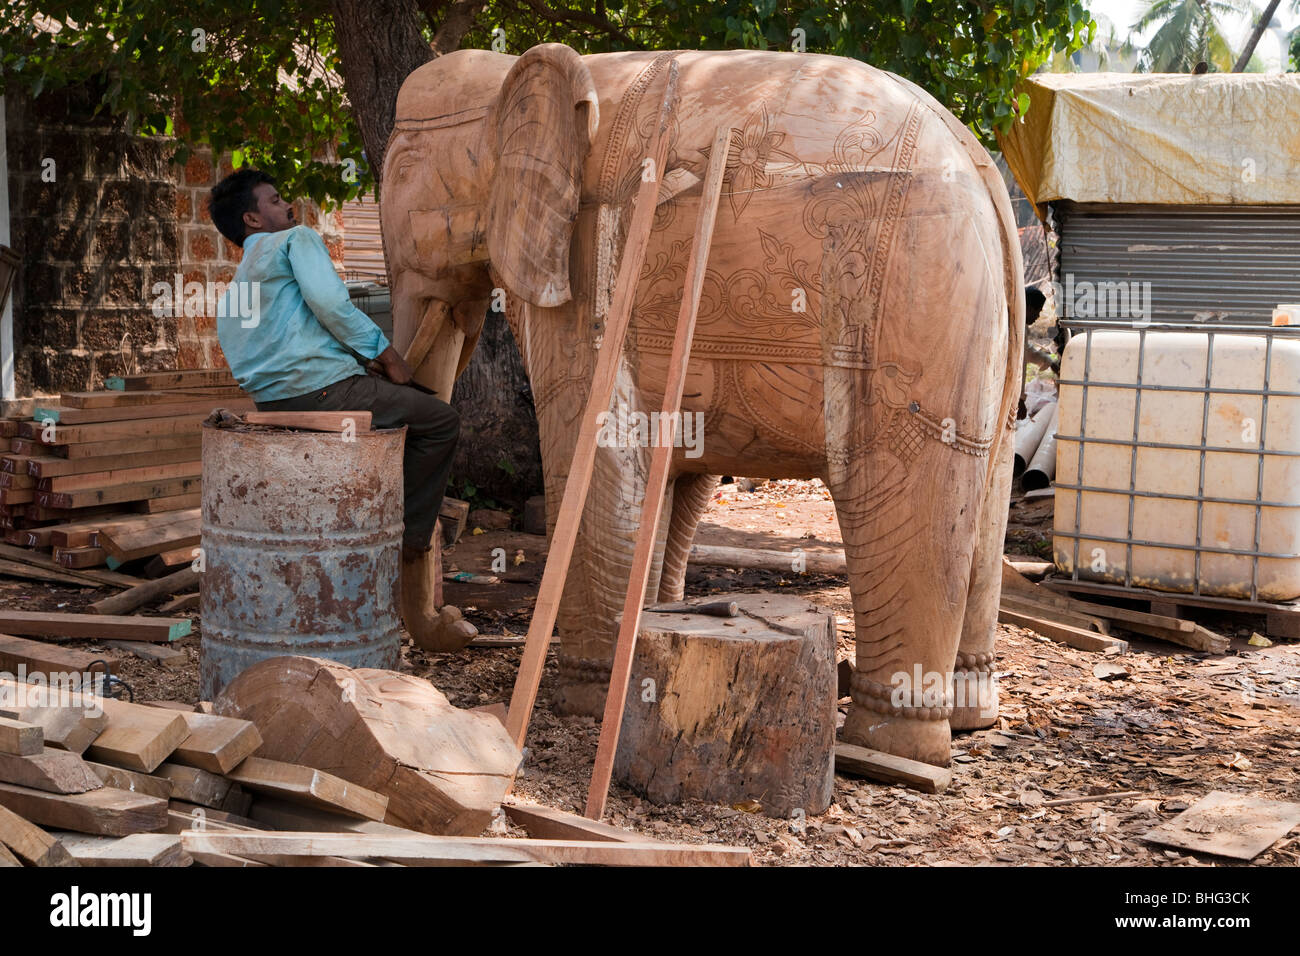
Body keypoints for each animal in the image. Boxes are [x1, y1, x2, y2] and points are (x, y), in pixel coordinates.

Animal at [380, 43, 1023, 767]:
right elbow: (672, 473)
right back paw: (970, 717)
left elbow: (591, 451)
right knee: (987, 490)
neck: (510, 73)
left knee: (913, 492)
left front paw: (587, 699)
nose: (461, 627)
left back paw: (891, 751)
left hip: (919, 315)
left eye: (401, 173)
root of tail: (987, 178)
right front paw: (649, 652)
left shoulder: (587, 274)